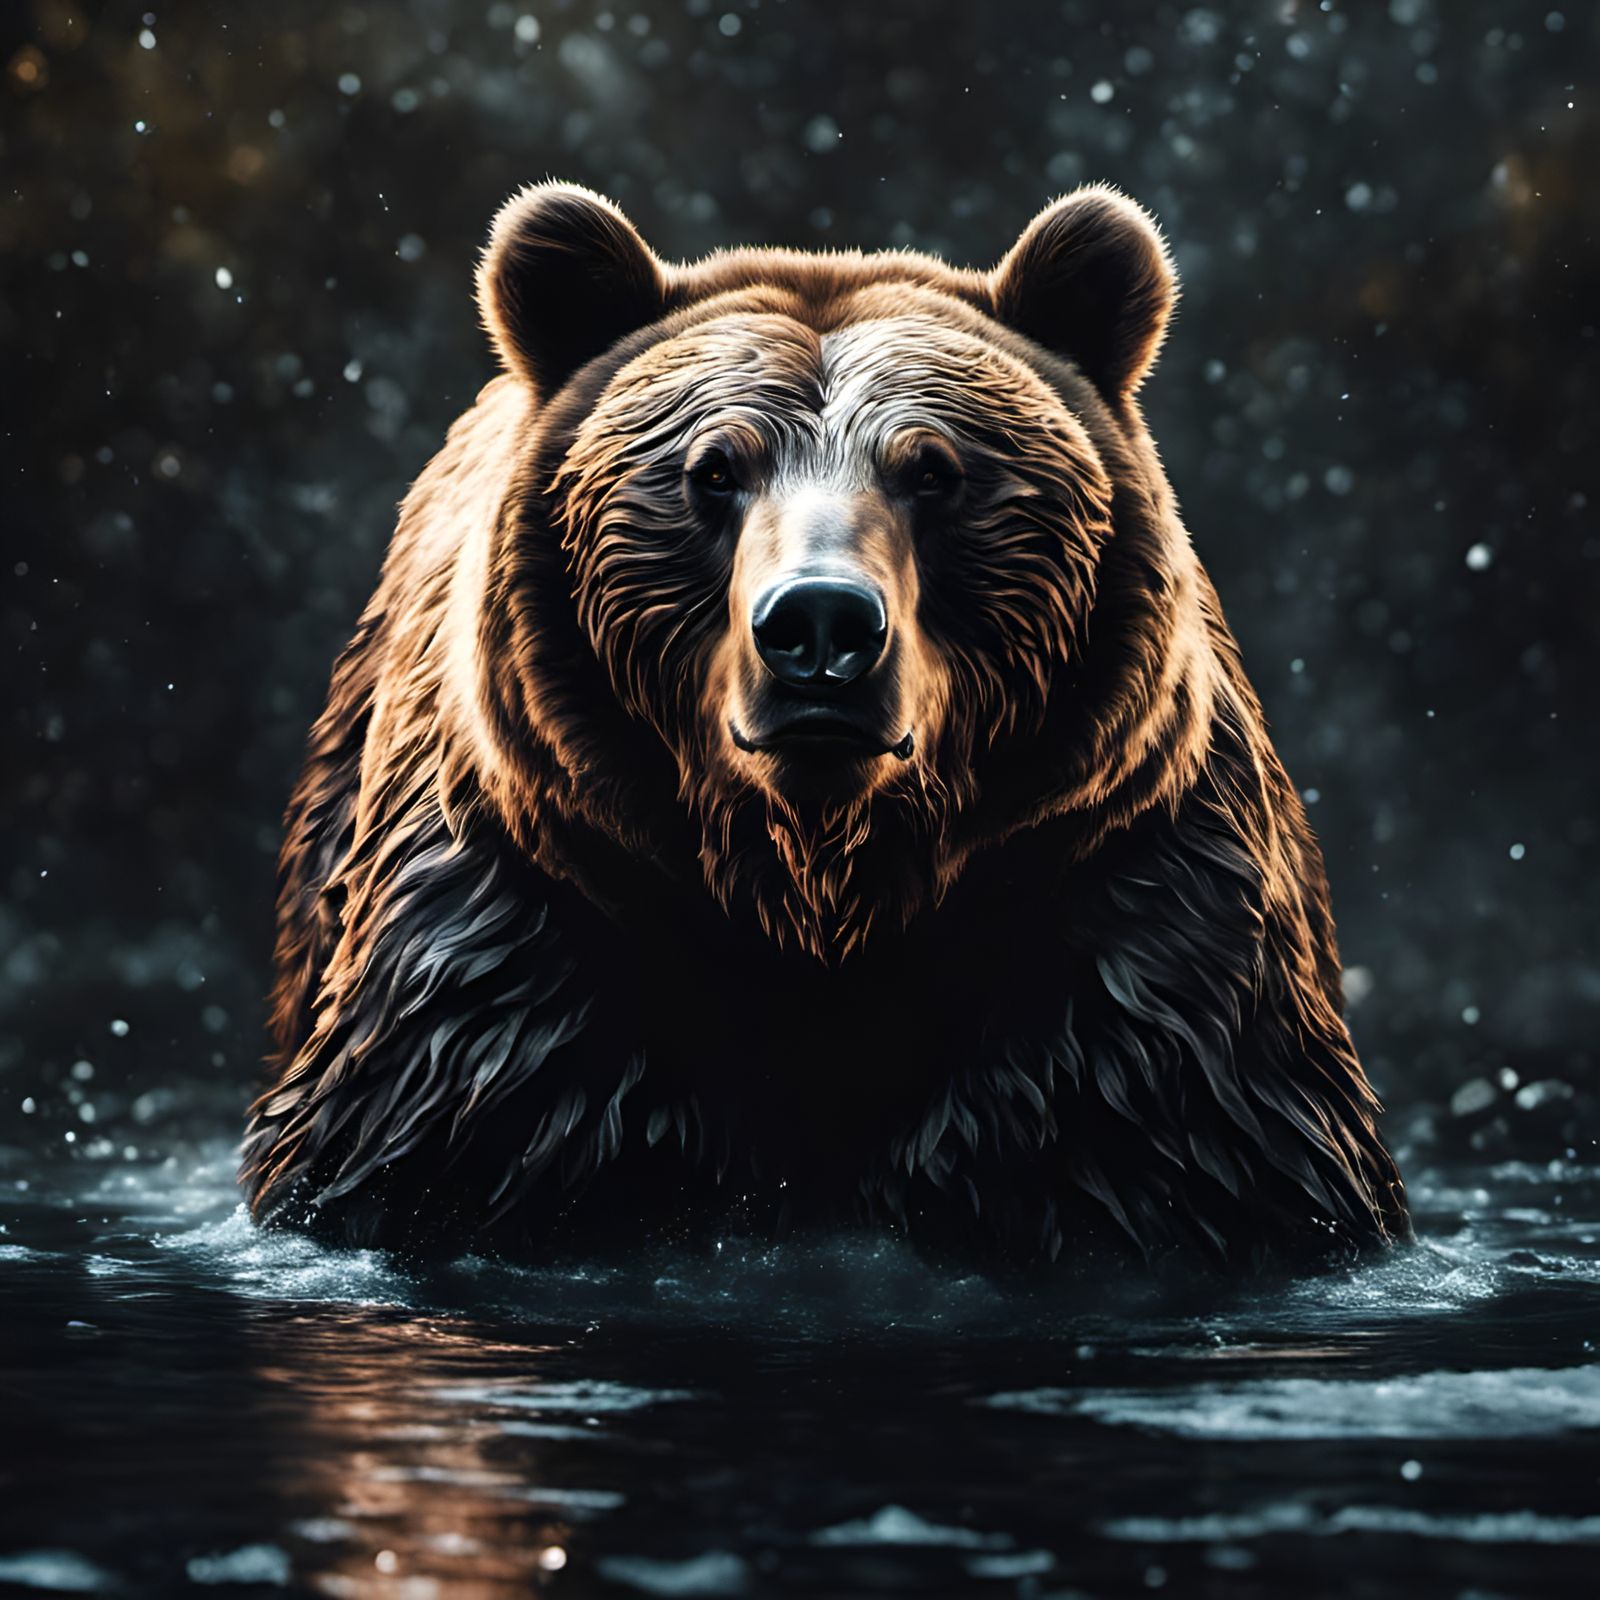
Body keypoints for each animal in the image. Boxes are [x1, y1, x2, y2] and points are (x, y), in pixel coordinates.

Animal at [240, 181, 1410, 1269]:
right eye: (712, 469)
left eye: (935, 469)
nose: (818, 625)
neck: (819, 901)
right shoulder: (514, 950)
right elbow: (436, 1145)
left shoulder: (1131, 941)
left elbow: (1199, 1155)